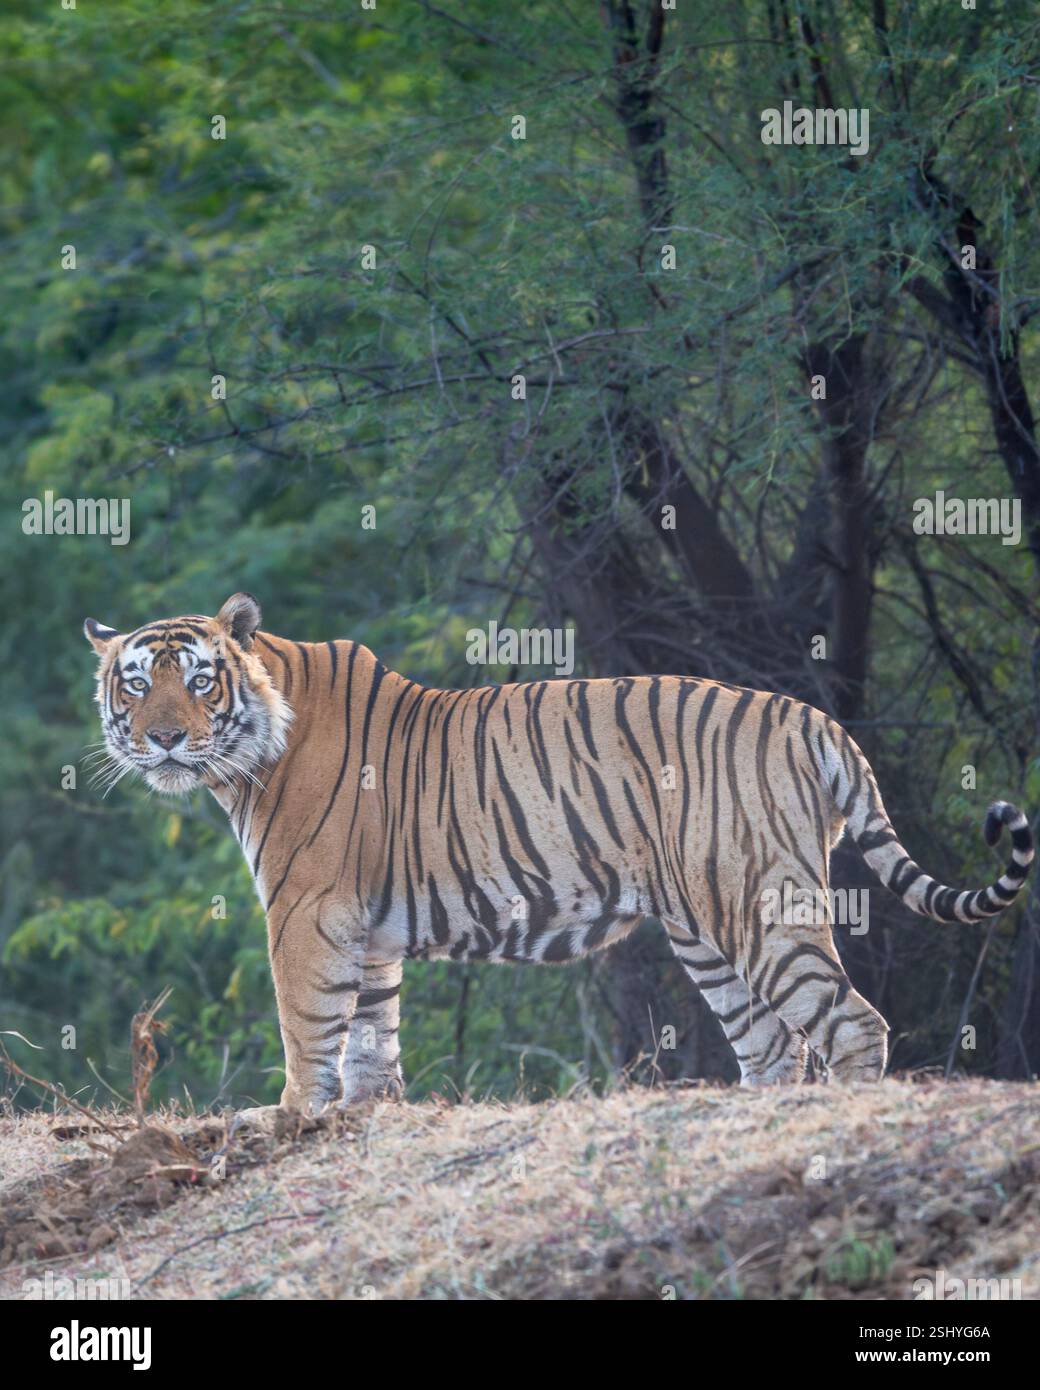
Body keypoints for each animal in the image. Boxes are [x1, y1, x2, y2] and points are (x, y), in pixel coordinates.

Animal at [84, 592, 1034, 1112]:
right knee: (770, 1043)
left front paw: (291, 1115)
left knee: (850, 1023)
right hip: (704, 927)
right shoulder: (371, 932)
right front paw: (362, 1113)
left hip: (758, 903)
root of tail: (812, 717)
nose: (164, 738)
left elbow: (308, 1027)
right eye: (134, 684)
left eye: (198, 679)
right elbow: (370, 1038)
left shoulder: (307, 914)